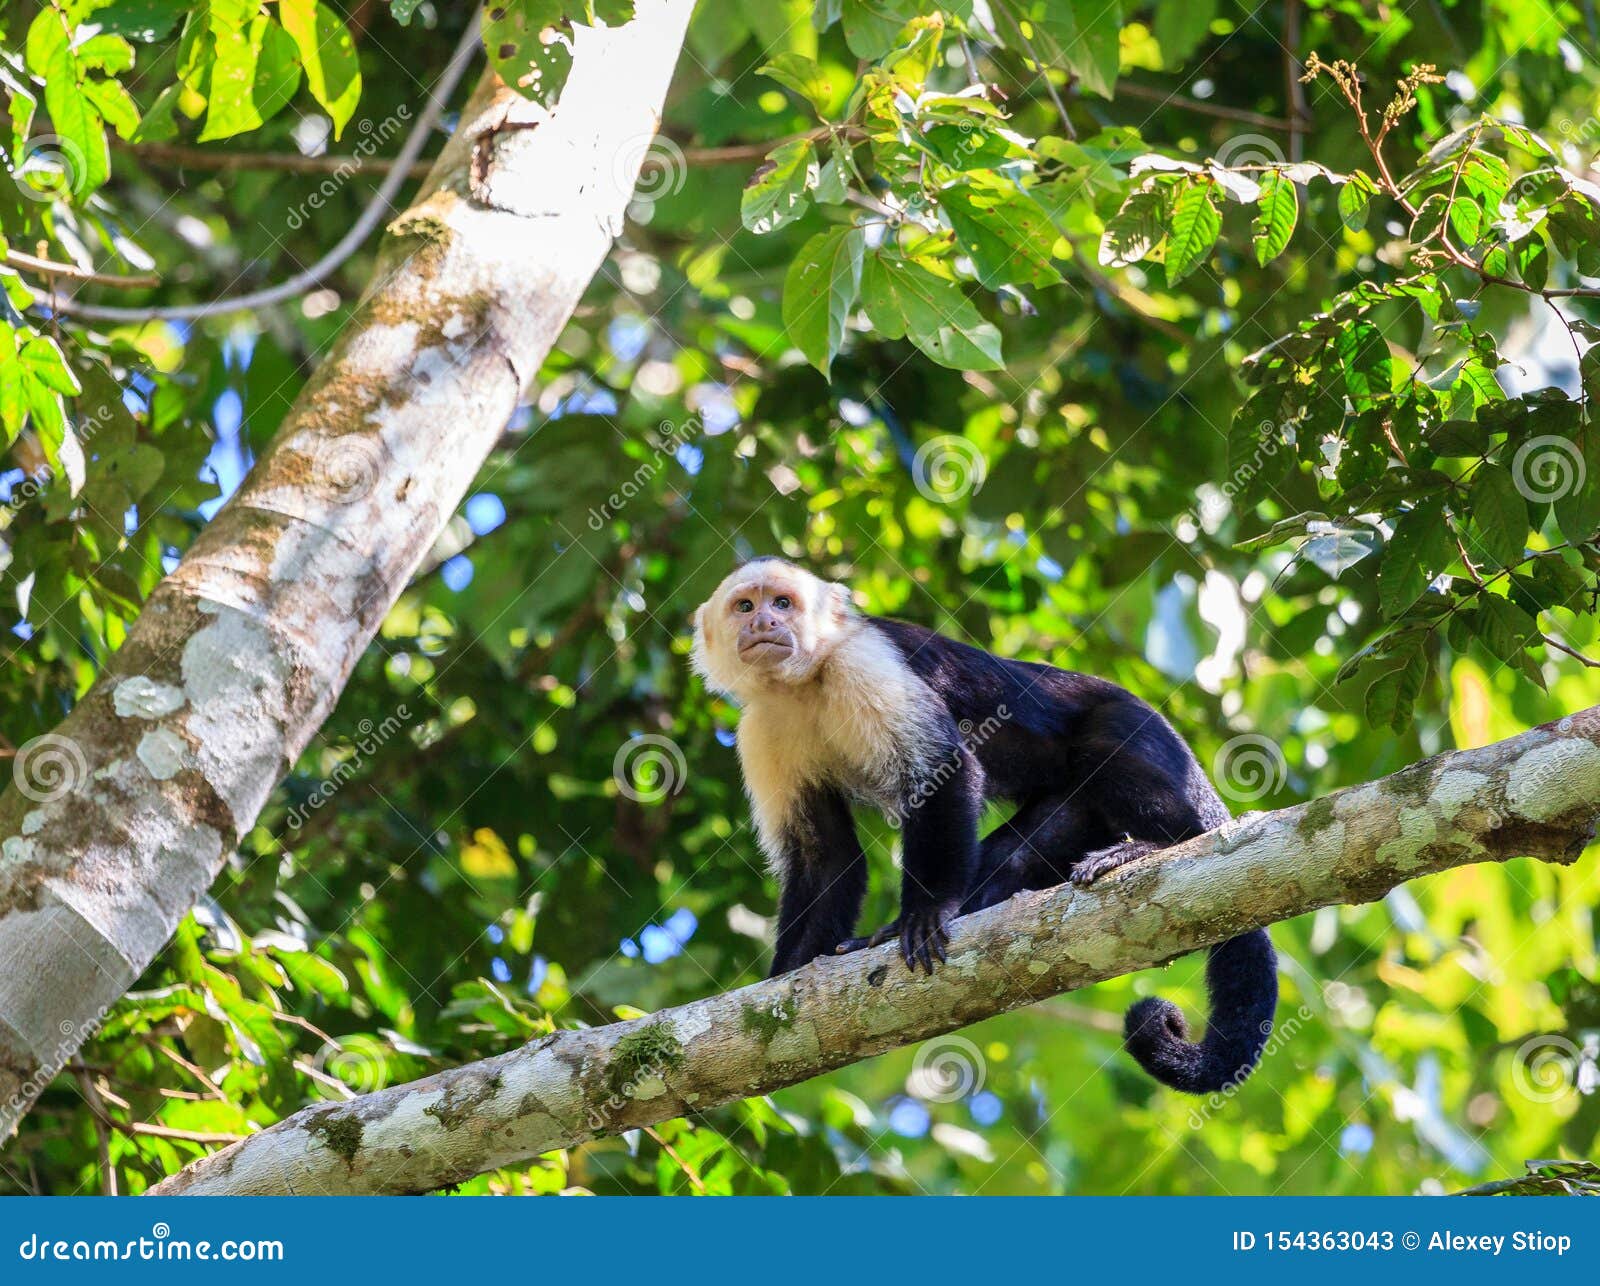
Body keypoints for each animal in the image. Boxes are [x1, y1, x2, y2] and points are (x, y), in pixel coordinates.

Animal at [690, 557, 1279, 1095]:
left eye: (782, 602)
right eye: (745, 606)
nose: (765, 622)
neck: (804, 683)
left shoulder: (863, 662)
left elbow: (946, 772)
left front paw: (925, 914)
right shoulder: (762, 728)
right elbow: (824, 856)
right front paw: (786, 978)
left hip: (1140, 727)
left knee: (1108, 749)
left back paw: (1159, 845)